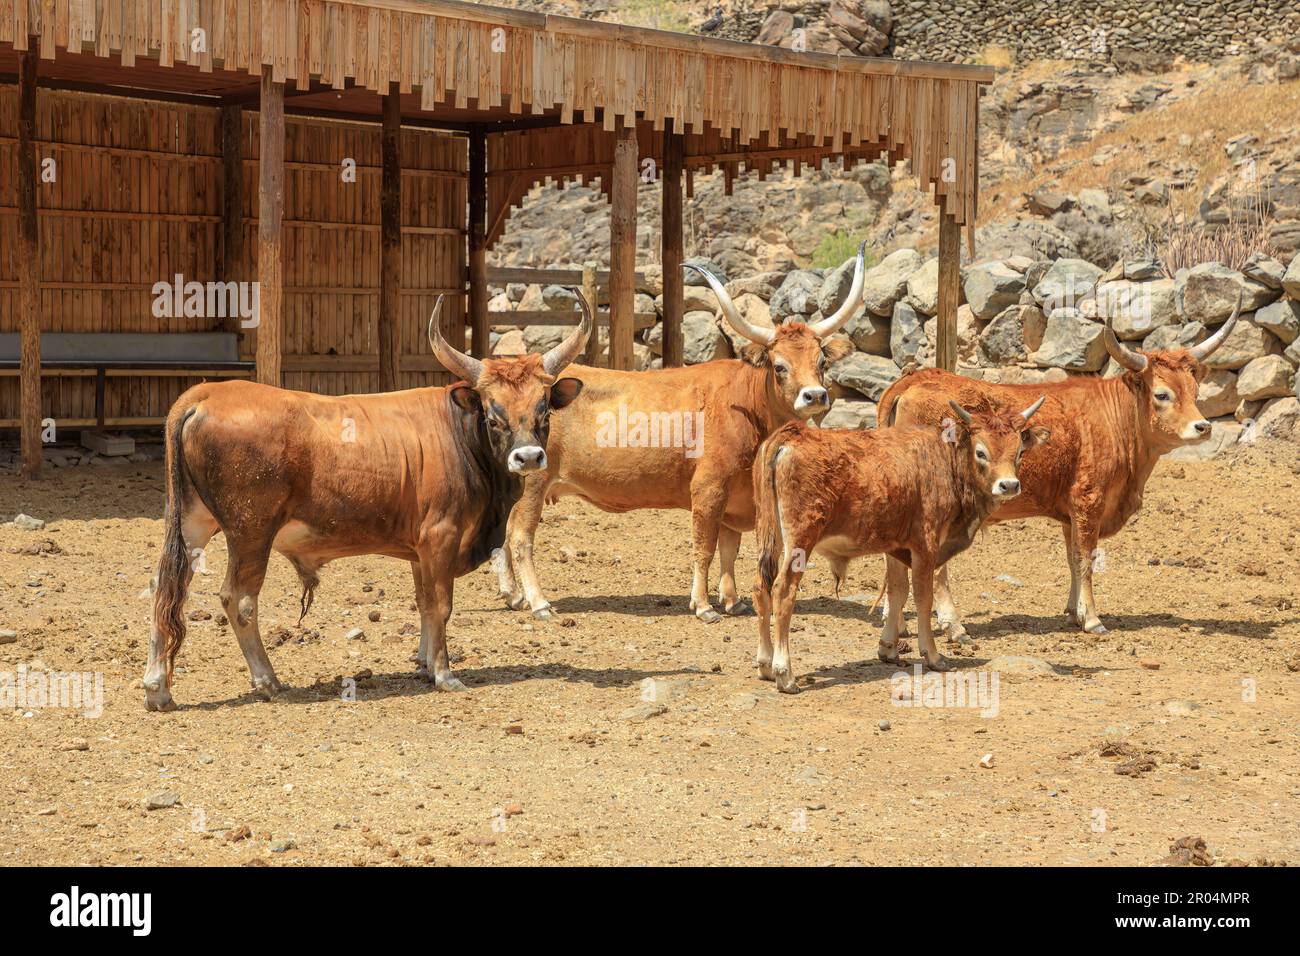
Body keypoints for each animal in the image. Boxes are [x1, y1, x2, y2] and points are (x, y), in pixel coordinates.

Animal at [142, 296, 592, 710]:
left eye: (544, 409)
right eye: (493, 414)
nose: (528, 457)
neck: (459, 434)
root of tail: (205, 394)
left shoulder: (419, 547)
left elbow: (424, 602)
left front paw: (424, 661)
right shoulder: (441, 537)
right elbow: (441, 604)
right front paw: (445, 673)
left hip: (193, 523)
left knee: (166, 589)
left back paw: (157, 688)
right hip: (250, 531)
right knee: (238, 599)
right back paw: (267, 680)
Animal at [495, 244, 867, 623]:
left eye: (822, 362)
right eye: (780, 366)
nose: (815, 396)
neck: (749, 405)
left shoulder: (736, 494)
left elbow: (730, 548)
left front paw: (733, 600)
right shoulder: (708, 488)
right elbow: (705, 547)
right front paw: (703, 605)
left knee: (505, 534)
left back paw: (513, 595)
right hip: (533, 482)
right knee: (521, 537)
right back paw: (538, 602)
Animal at [751, 396, 1049, 691]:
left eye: (1019, 451)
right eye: (981, 452)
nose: (1009, 485)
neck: (943, 460)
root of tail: (791, 434)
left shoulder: (895, 546)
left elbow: (897, 591)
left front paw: (888, 647)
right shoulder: (925, 545)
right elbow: (923, 598)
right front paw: (933, 655)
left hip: (770, 535)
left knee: (760, 587)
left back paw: (765, 664)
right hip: (800, 539)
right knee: (783, 591)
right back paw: (784, 672)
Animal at [876, 295, 1242, 637]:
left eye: (1195, 390)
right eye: (1162, 394)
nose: (1203, 427)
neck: (1114, 419)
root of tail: (914, 380)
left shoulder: (1070, 512)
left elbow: (1071, 557)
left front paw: (1073, 610)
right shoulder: (1089, 501)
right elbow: (1086, 558)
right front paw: (1092, 618)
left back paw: (898, 625)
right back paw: (952, 624)